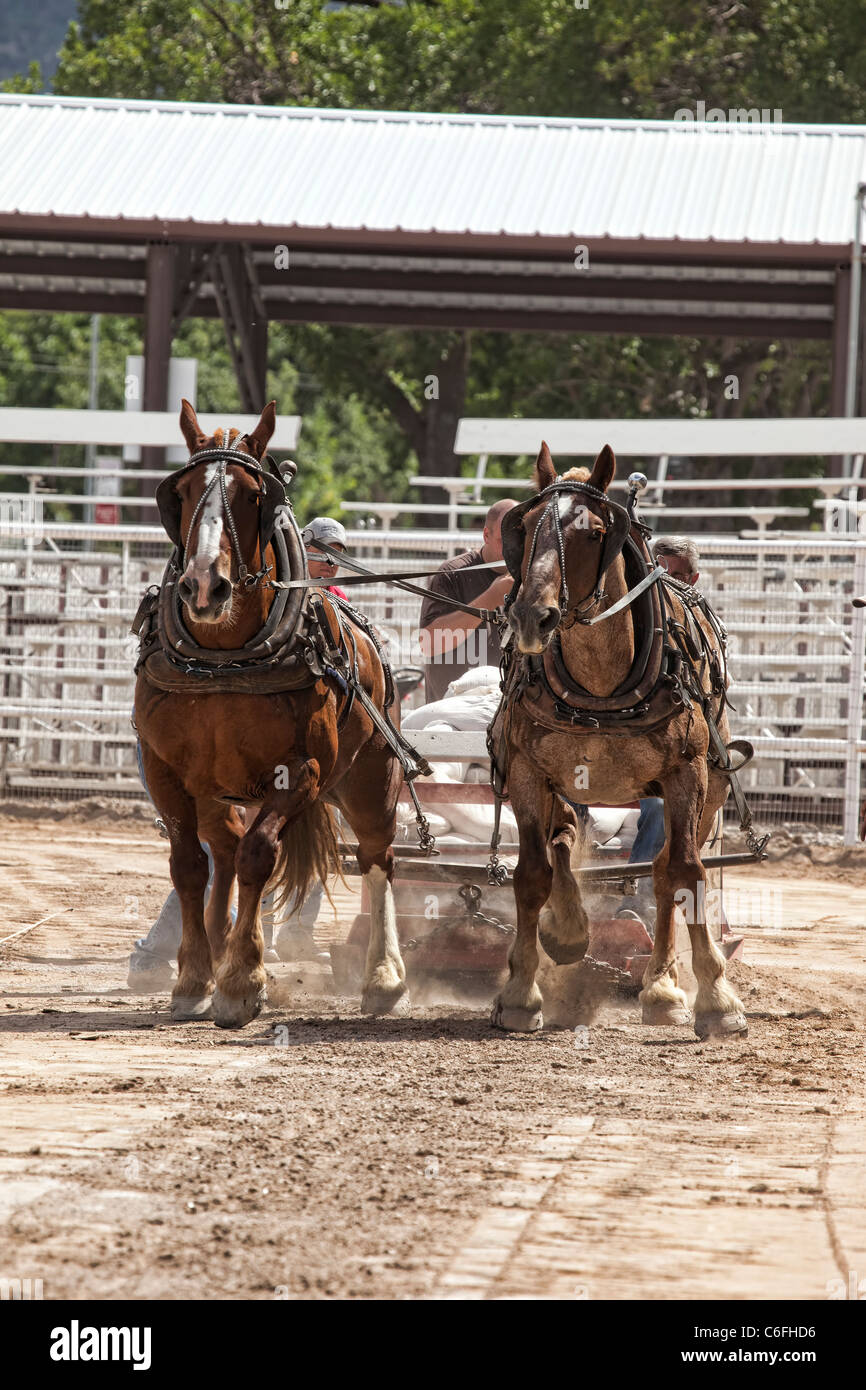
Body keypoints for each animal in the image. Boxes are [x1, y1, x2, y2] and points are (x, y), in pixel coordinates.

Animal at [133, 400, 410, 1029]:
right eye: (181, 491)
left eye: (252, 493)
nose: (203, 585)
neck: (224, 660)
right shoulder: (165, 772)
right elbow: (189, 865)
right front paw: (194, 977)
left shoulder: (301, 772)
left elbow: (260, 855)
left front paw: (243, 980)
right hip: (215, 788)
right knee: (222, 849)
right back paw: (215, 946)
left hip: (369, 776)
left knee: (376, 856)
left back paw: (384, 977)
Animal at [489, 441, 748, 1041]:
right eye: (526, 527)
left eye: (593, 533)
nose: (531, 616)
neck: (602, 689)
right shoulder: (528, 771)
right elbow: (531, 873)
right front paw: (520, 992)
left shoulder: (685, 773)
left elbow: (687, 873)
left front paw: (716, 999)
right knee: (563, 835)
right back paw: (569, 930)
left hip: (707, 793)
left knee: (664, 872)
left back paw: (662, 987)